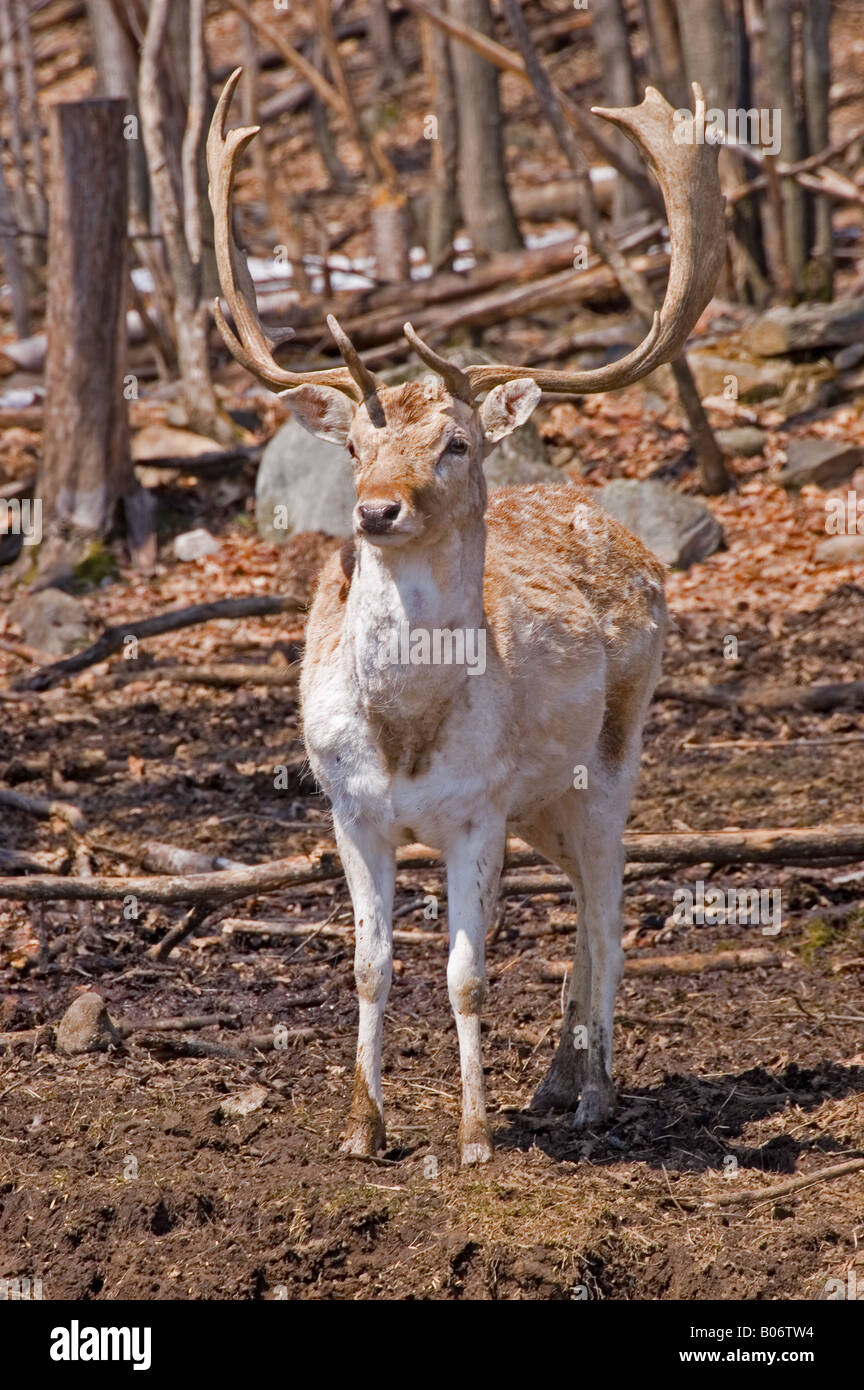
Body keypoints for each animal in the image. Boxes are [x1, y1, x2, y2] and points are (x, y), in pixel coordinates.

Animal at [207, 72, 724, 1165]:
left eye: (455, 442)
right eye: (356, 442)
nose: (375, 509)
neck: (405, 731)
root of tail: (636, 544)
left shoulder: (477, 812)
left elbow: (467, 975)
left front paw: (477, 1136)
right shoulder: (347, 806)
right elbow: (368, 965)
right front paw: (363, 1130)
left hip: (613, 754)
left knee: (607, 906)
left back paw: (594, 1095)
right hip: (543, 804)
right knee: (579, 898)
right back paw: (557, 1074)